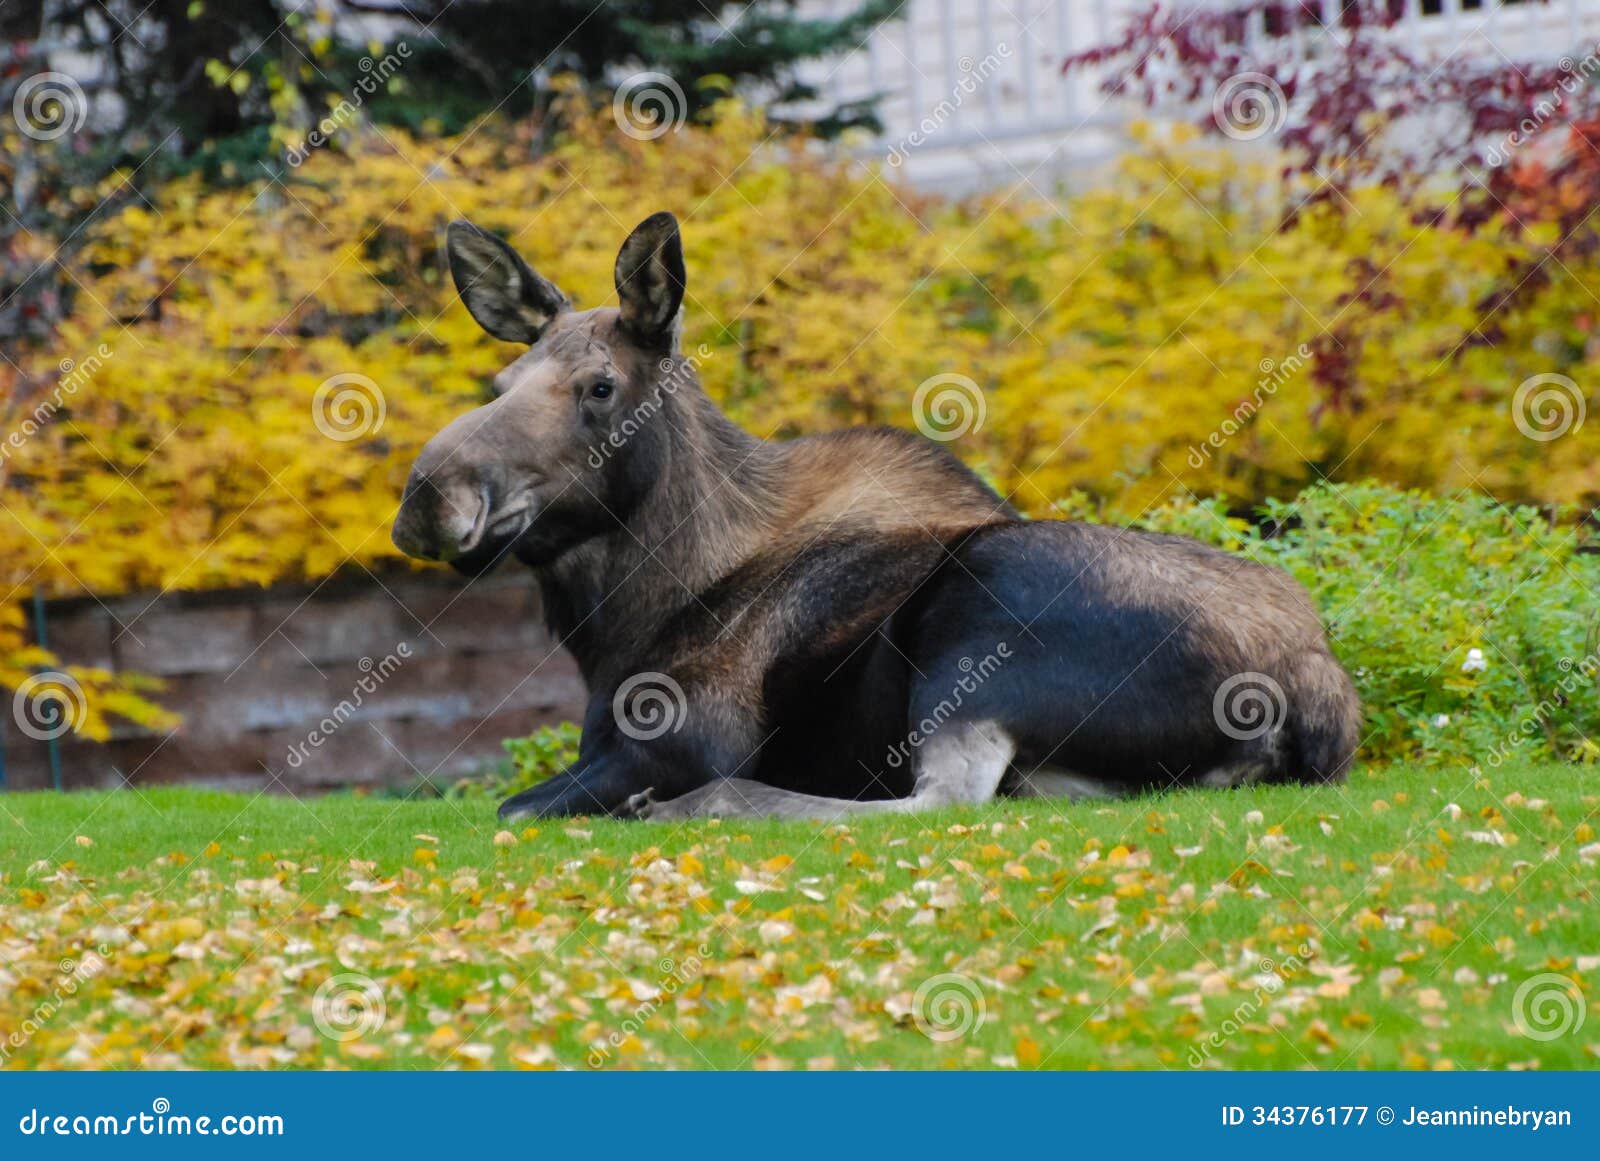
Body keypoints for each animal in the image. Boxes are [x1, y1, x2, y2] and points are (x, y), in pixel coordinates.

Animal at [391, 212, 1361, 822]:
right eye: (502, 382)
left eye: (599, 386)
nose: (428, 496)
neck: (616, 627)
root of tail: (1317, 694)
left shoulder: (688, 734)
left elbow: (511, 802)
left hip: (980, 621)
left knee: (937, 803)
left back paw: (685, 810)